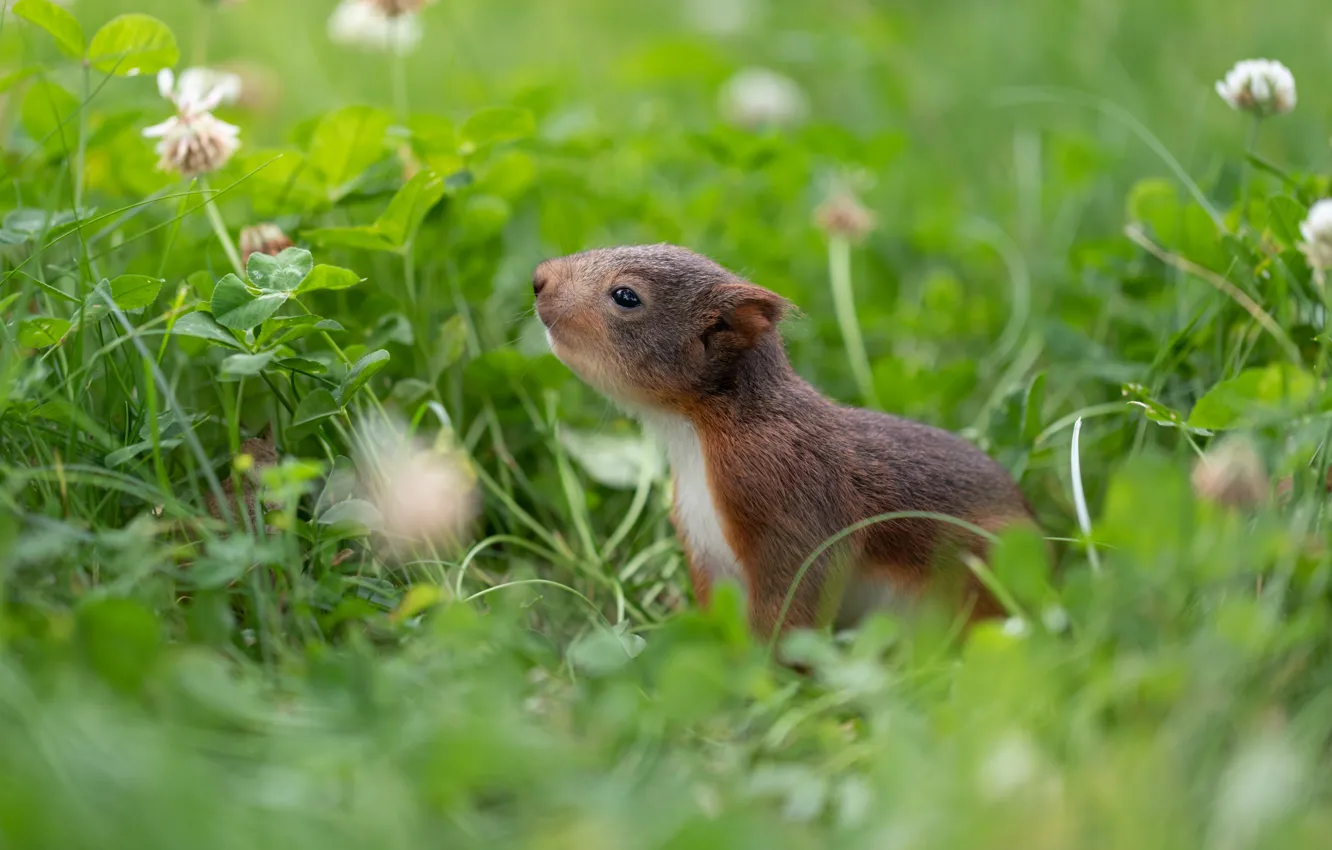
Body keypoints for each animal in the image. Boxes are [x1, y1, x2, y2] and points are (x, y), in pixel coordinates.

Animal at [533, 244, 1037, 639]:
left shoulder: (790, 497)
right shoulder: (704, 547)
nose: (539, 278)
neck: (697, 432)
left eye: (626, 296)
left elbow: (791, 605)